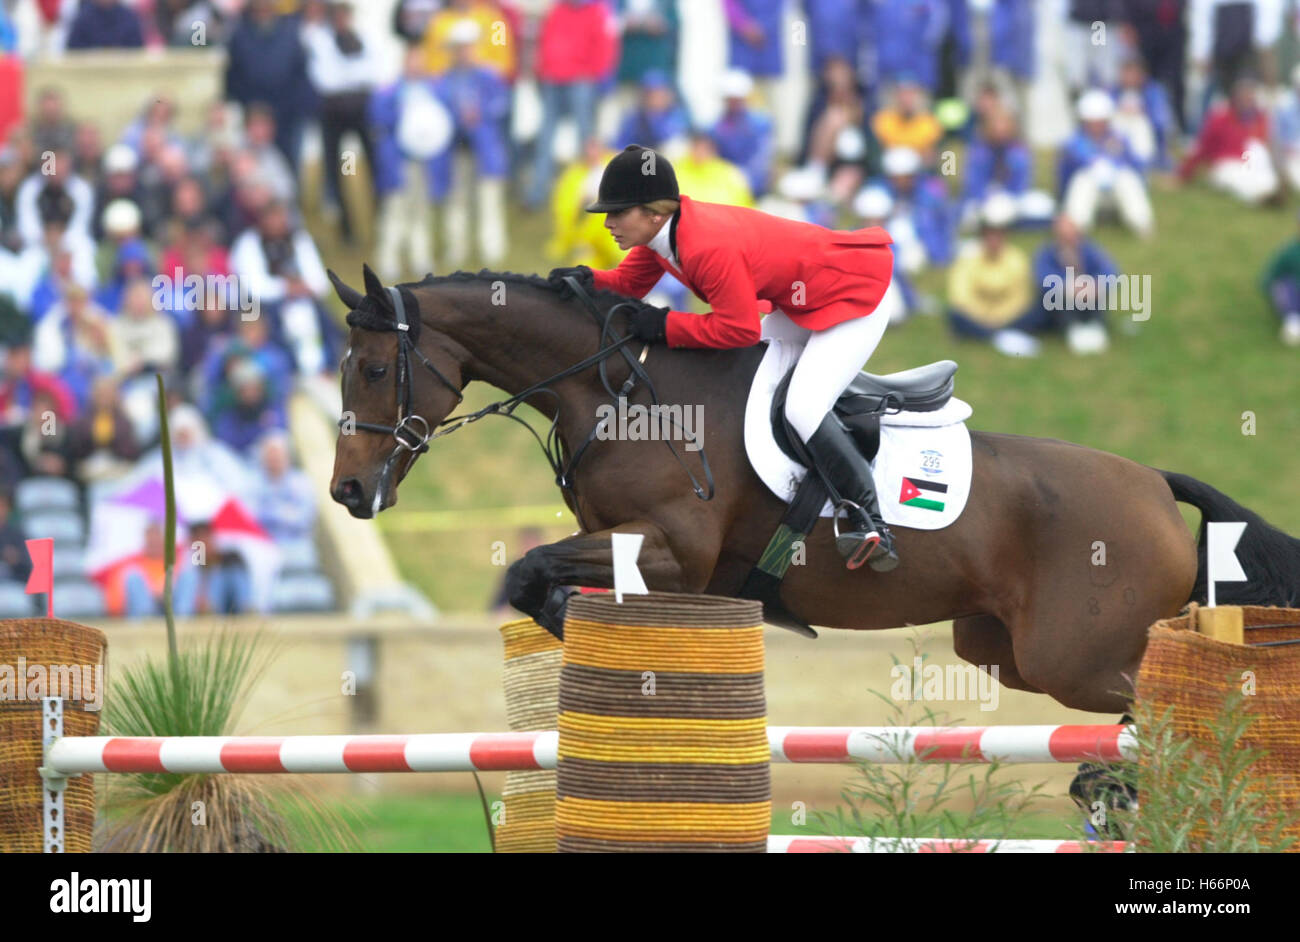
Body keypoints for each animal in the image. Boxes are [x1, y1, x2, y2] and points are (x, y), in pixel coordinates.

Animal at [328, 264, 1300, 716]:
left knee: (1179, 702)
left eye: (374, 369)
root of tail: (1152, 484)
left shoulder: (674, 551)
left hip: (1078, 657)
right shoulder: (645, 556)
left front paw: (568, 624)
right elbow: (545, 580)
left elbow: (533, 571)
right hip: (1006, 651)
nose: (346, 492)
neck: (620, 389)